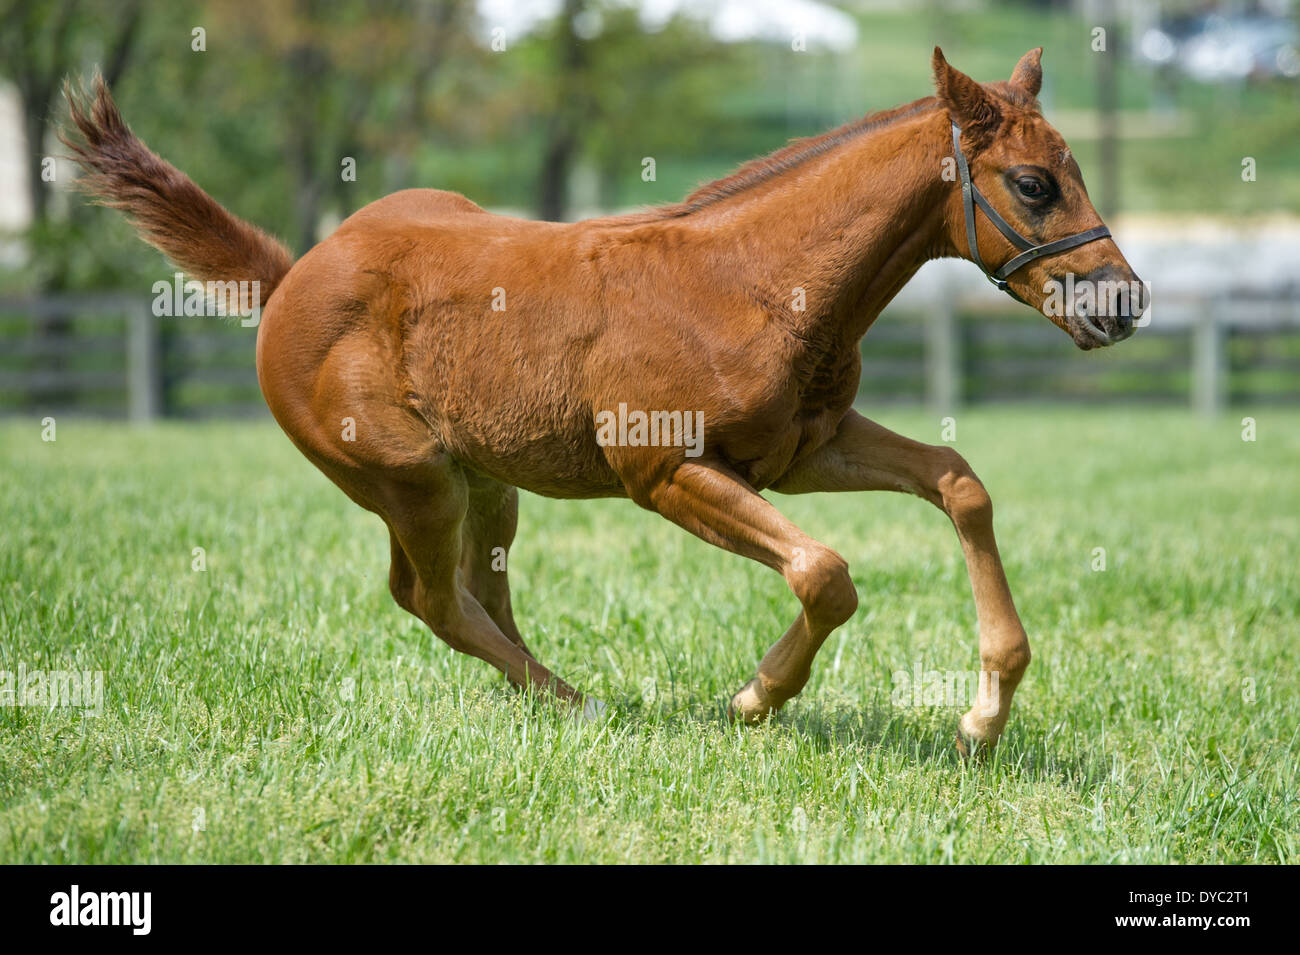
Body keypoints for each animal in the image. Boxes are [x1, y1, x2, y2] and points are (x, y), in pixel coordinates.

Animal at [63, 46, 1145, 753]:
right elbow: (825, 573)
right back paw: (580, 704)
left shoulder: (806, 448)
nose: (1123, 301)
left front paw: (984, 713)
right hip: (410, 478)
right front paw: (755, 699)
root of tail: (292, 275)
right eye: (1035, 183)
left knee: (476, 589)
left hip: (485, 480)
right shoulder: (663, 470)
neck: (754, 284)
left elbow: (959, 482)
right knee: (430, 596)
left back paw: (545, 699)